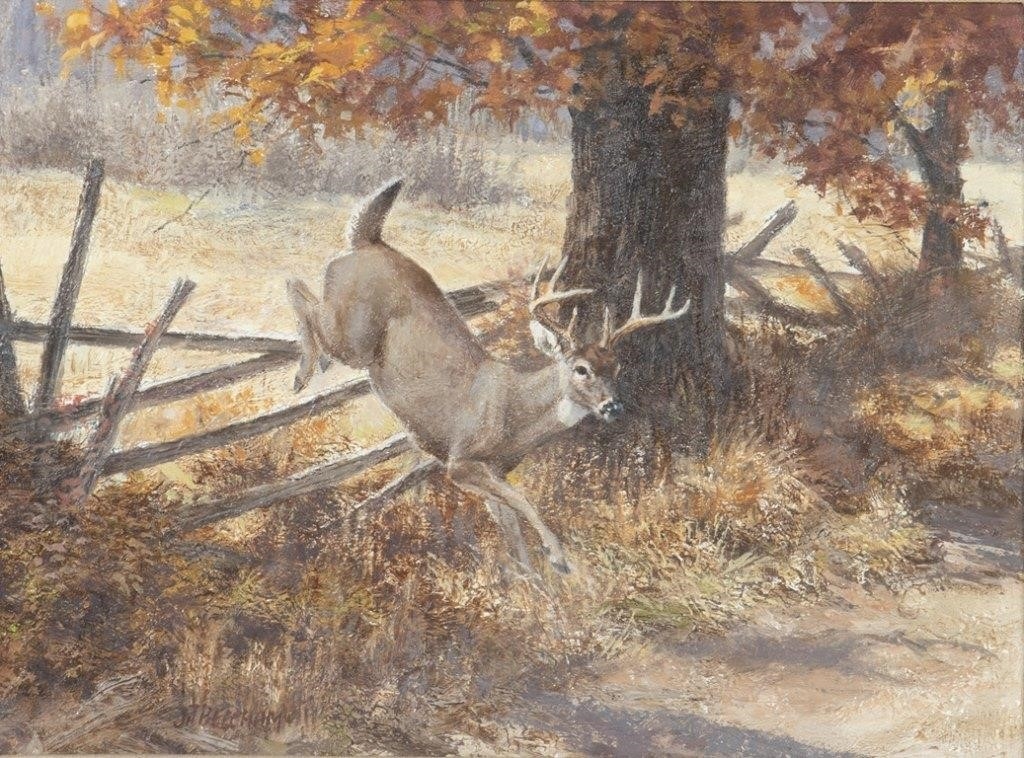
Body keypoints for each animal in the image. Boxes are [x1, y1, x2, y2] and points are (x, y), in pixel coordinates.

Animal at [286, 179, 691, 575]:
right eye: (581, 369)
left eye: (616, 368)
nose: (613, 406)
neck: (515, 414)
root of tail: (368, 241)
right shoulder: (461, 460)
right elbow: (522, 500)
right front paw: (557, 558)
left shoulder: (496, 469)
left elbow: (509, 524)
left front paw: (526, 581)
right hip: (358, 337)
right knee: (297, 286)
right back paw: (303, 373)